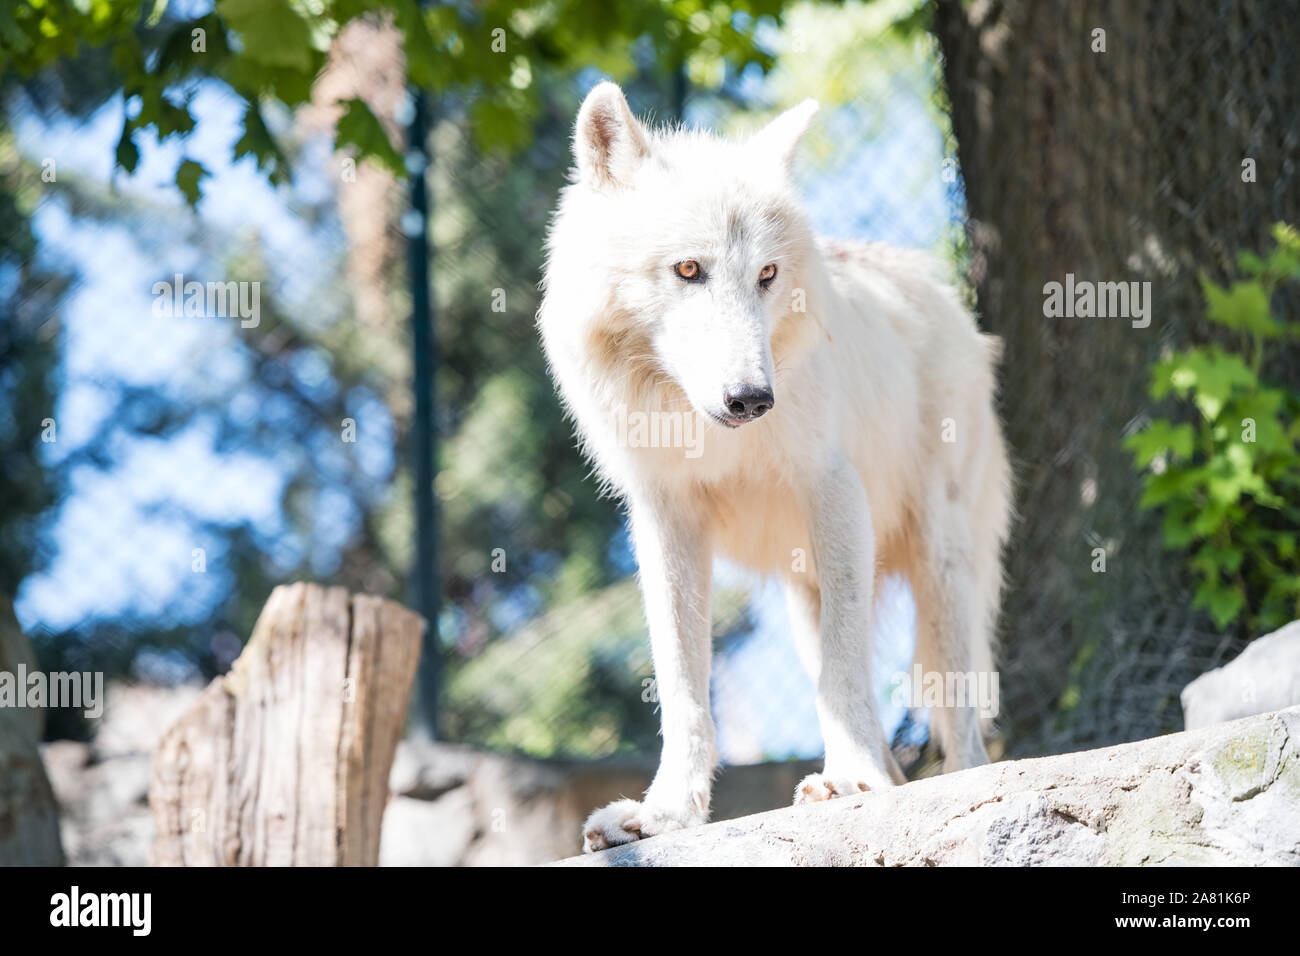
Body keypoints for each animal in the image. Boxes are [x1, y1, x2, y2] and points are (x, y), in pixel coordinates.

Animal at [537, 82, 1012, 853]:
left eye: (766, 275)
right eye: (689, 270)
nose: (753, 398)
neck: (709, 432)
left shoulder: (835, 491)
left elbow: (845, 673)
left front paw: (848, 781)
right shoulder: (665, 520)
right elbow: (682, 684)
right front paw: (665, 815)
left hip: (941, 563)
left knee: (958, 720)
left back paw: (930, 781)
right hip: (804, 592)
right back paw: (884, 781)